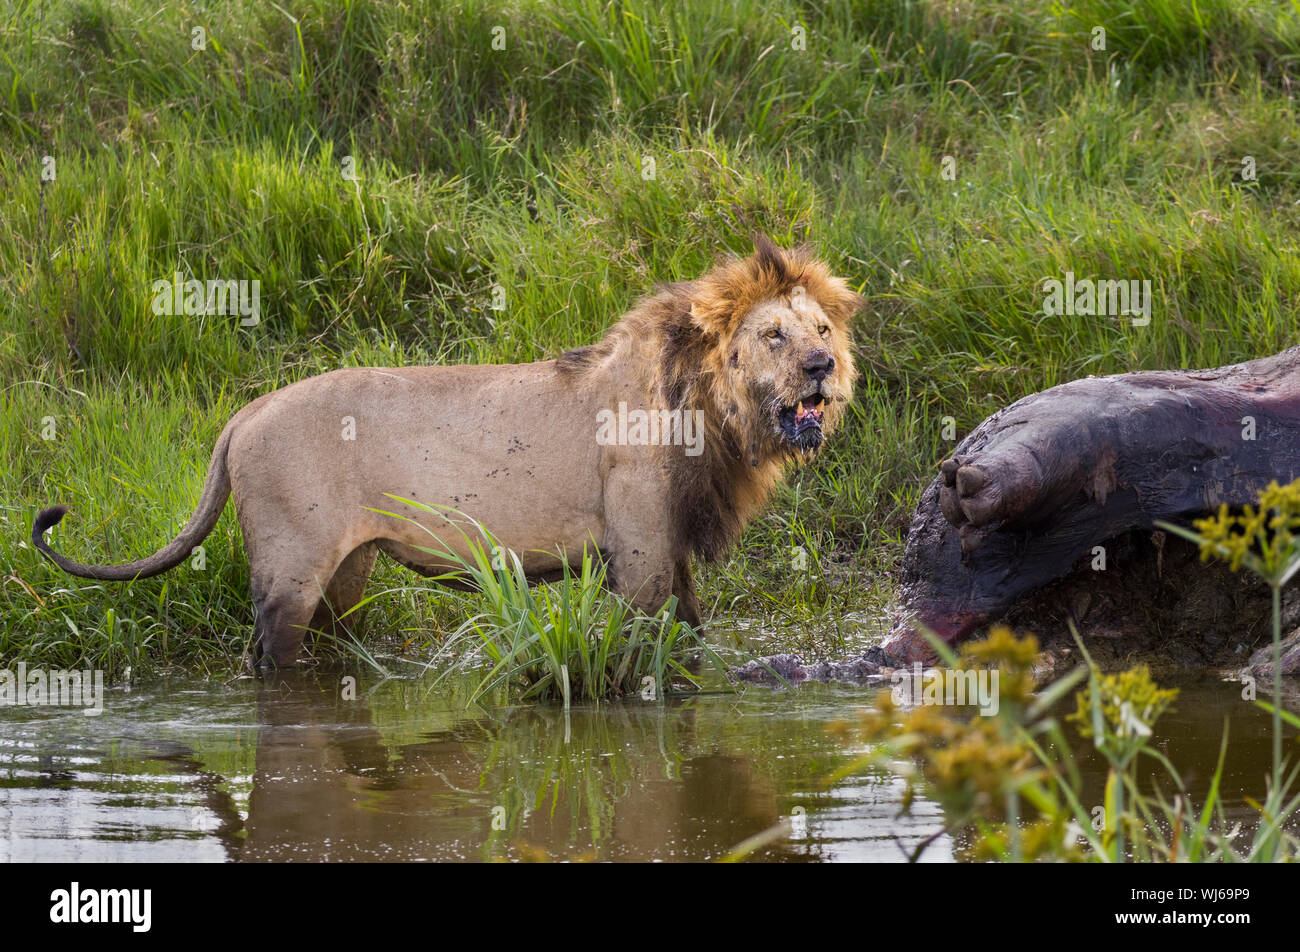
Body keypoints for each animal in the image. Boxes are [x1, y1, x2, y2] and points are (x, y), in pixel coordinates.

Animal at [33, 238, 862, 667]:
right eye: (774, 335)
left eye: (822, 329)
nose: (822, 367)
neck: (715, 415)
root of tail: (246, 412)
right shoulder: (641, 554)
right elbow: (643, 651)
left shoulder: (675, 550)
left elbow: (689, 641)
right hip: (288, 572)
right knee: (268, 658)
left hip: (348, 571)